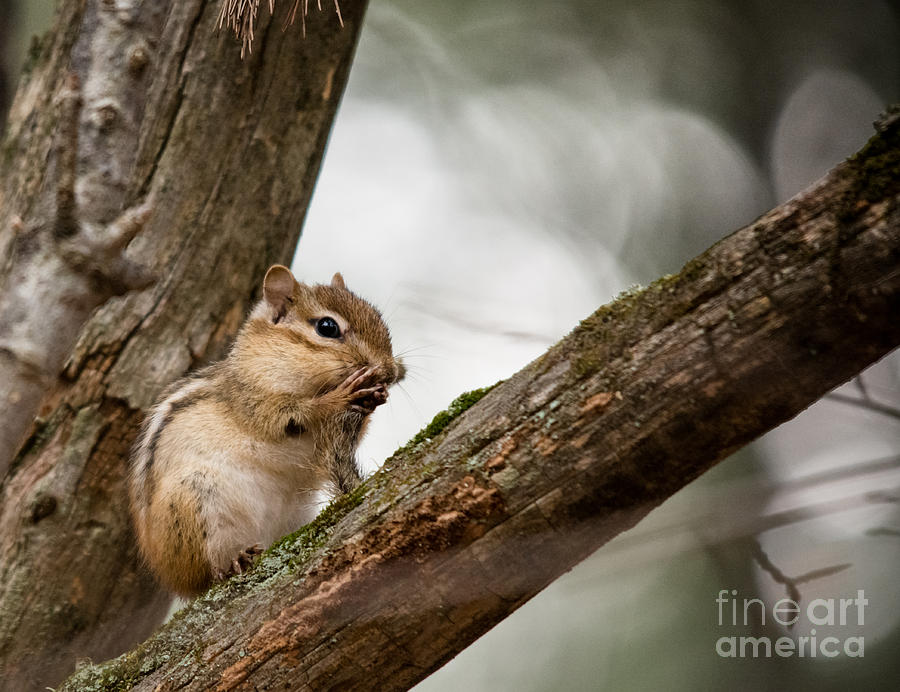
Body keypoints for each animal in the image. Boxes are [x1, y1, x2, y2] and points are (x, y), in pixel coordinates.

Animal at [128, 265, 404, 596]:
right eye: (327, 327)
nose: (389, 371)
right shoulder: (251, 399)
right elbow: (289, 416)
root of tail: (175, 578)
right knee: (211, 572)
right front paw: (338, 397)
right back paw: (233, 561)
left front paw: (377, 397)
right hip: (194, 504)